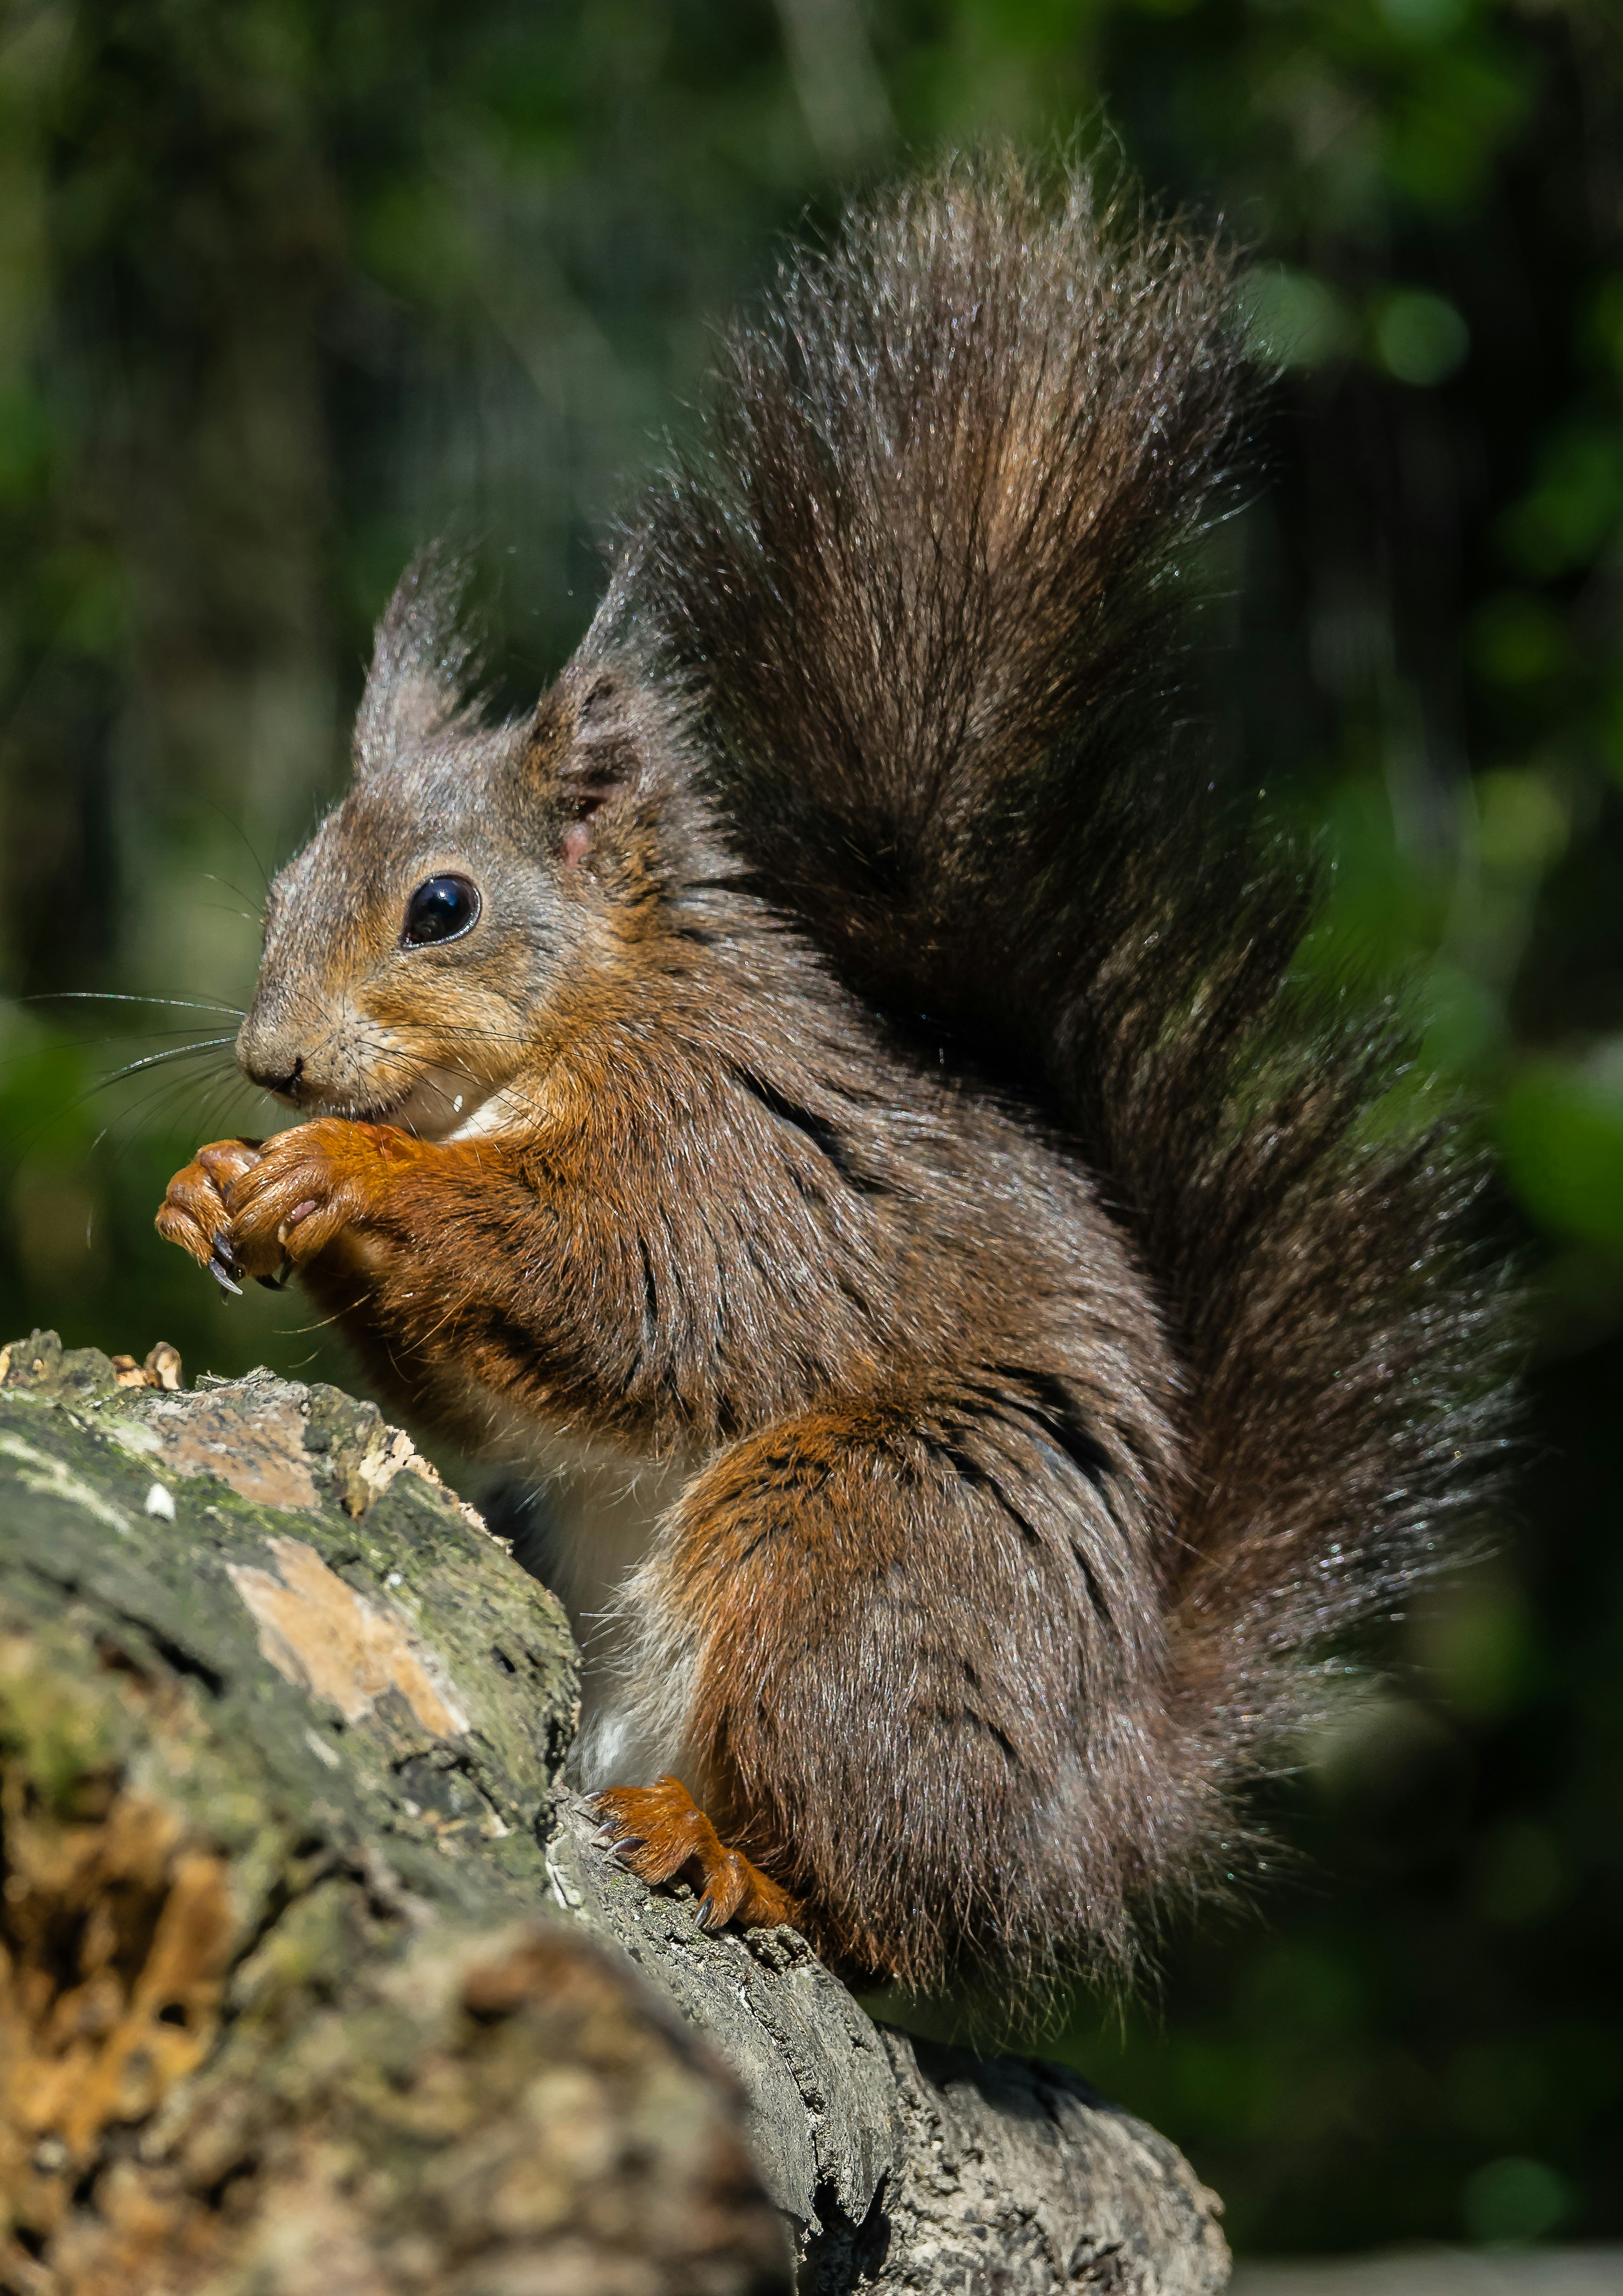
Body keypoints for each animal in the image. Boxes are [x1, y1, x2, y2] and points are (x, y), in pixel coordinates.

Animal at [156, 157, 1507, 2001]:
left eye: (442, 906)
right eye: (288, 881)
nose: (271, 1063)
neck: (579, 1021)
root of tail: (1078, 1818)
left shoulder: (726, 1152)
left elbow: (632, 1284)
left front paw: (356, 1171)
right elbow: (477, 1391)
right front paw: (216, 1186)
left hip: (861, 1550)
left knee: (882, 1893)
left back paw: (729, 1850)